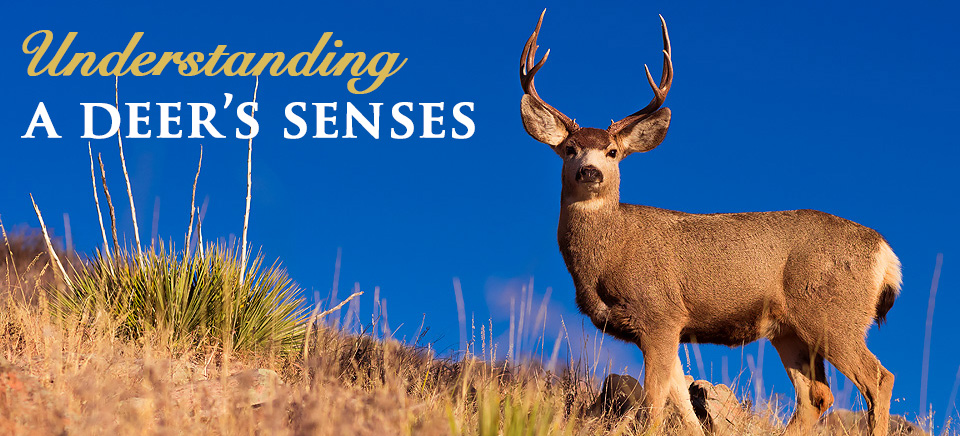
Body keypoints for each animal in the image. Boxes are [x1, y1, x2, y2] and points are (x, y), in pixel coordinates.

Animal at [519, 11, 902, 436]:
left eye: (613, 152)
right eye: (569, 149)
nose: (590, 172)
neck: (610, 251)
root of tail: (884, 251)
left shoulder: (660, 313)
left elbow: (655, 402)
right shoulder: (668, 327)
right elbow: (681, 401)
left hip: (834, 314)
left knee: (878, 378)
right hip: (789, 330)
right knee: (816, 395)